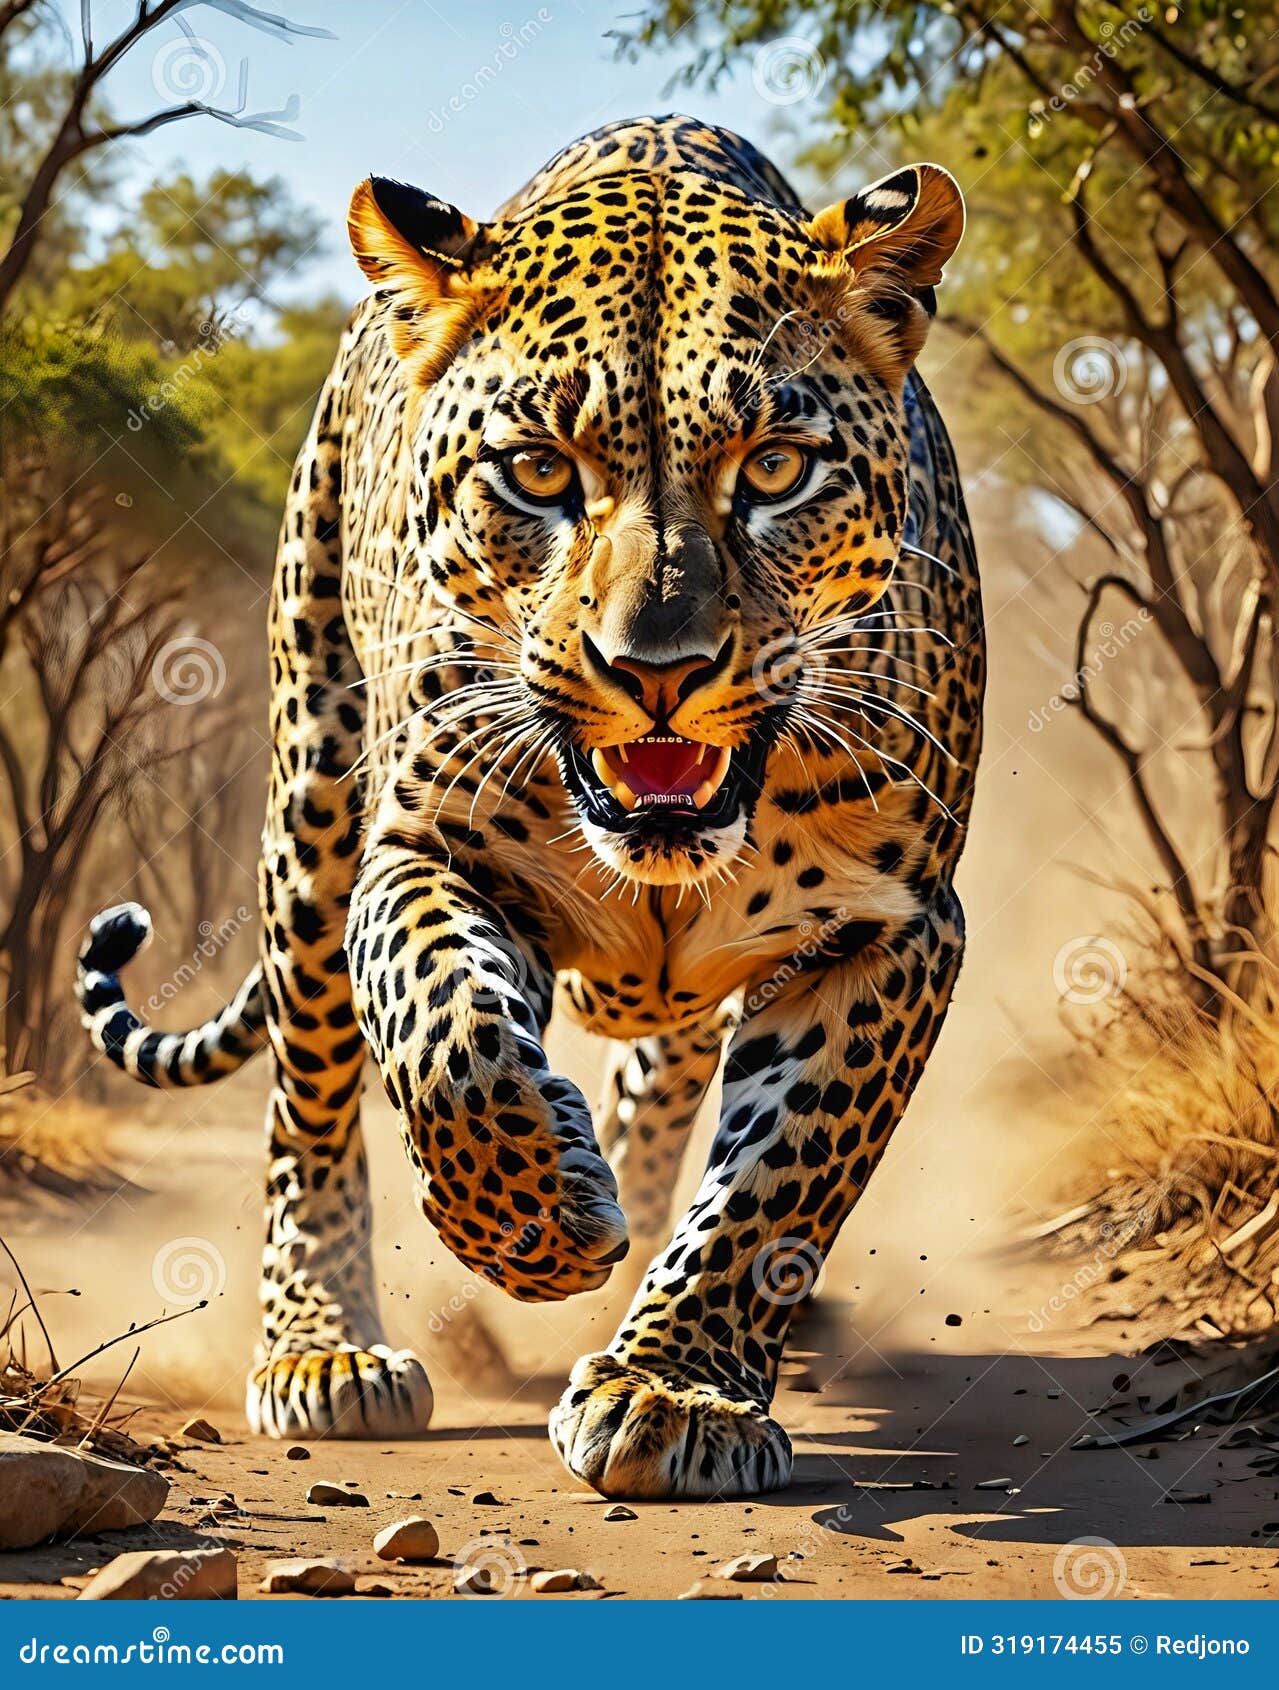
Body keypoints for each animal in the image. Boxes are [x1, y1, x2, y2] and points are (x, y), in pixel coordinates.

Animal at [75, 115, 983, 1501]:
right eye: (539, 471)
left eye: (775, 467)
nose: (656, 666)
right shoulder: (423, 848)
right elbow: (446, 1042)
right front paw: (541, 1221)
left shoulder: (894, 925)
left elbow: (779, 1175)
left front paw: (673, 1388)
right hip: (311, 801)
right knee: (313, 1100)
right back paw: (322, 1349)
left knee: (668, 1078)